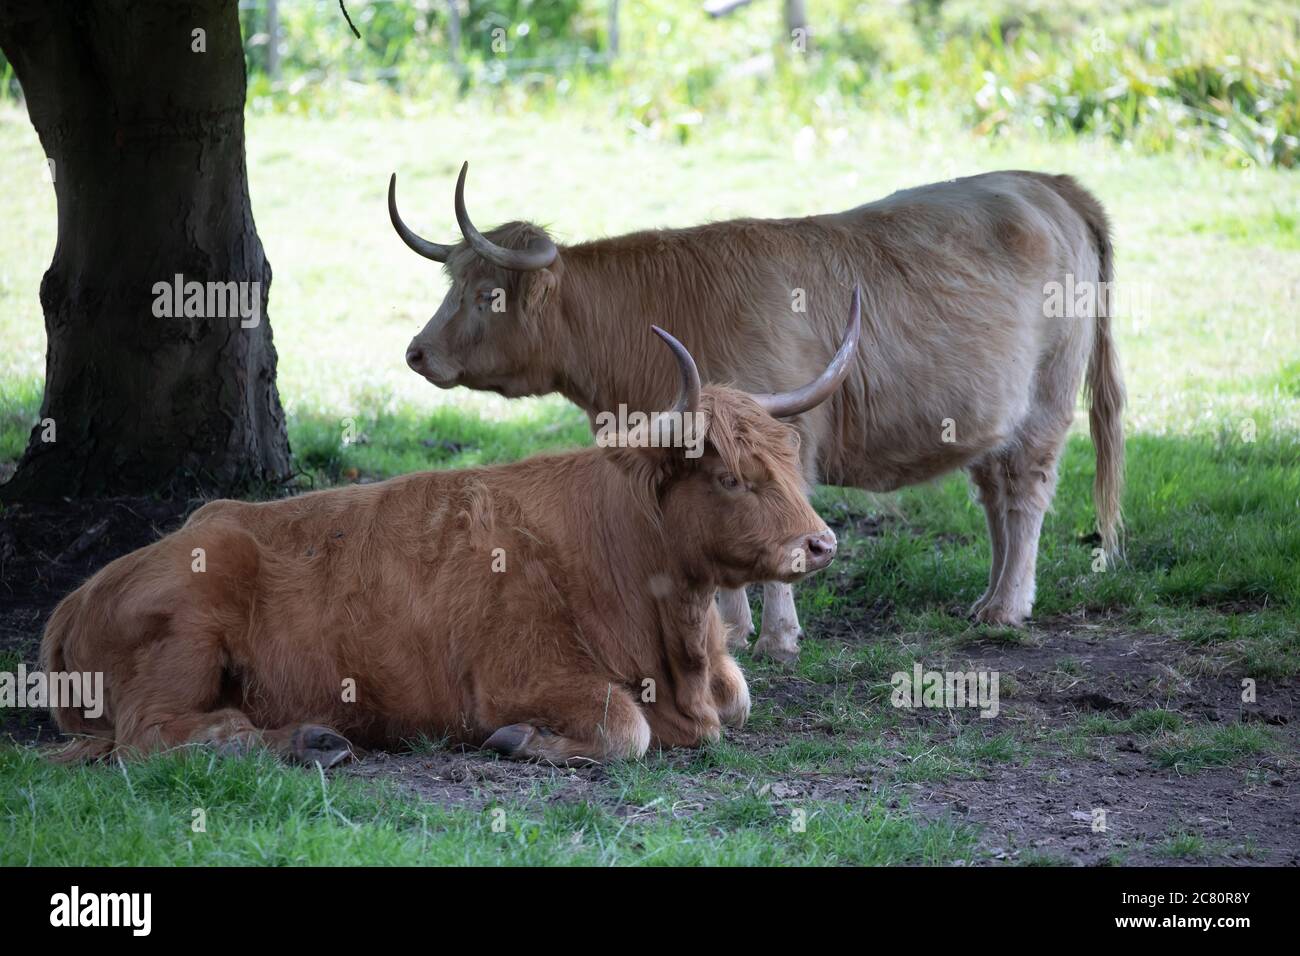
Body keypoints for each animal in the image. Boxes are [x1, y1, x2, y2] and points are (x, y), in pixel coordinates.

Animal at [40, 302, 859, 765]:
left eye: (789, 461)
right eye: (730, 476)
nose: (820, 544)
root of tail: (74, 600)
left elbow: (738, 698)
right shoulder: (522, 679)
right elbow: (627, 728)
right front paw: (522, 743)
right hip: (187, 641)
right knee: (158, 734)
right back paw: (308, 741)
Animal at [390, 164, 1125, 662]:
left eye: (488, 294)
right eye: (454, 282)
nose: (418, 352)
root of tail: (1046, 183)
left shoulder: (785, 435)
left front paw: (776, 636)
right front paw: (733, 629)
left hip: (1046, 403)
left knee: (1025, 495)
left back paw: (1007, 607)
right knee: (997, 496)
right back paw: (988, 598)